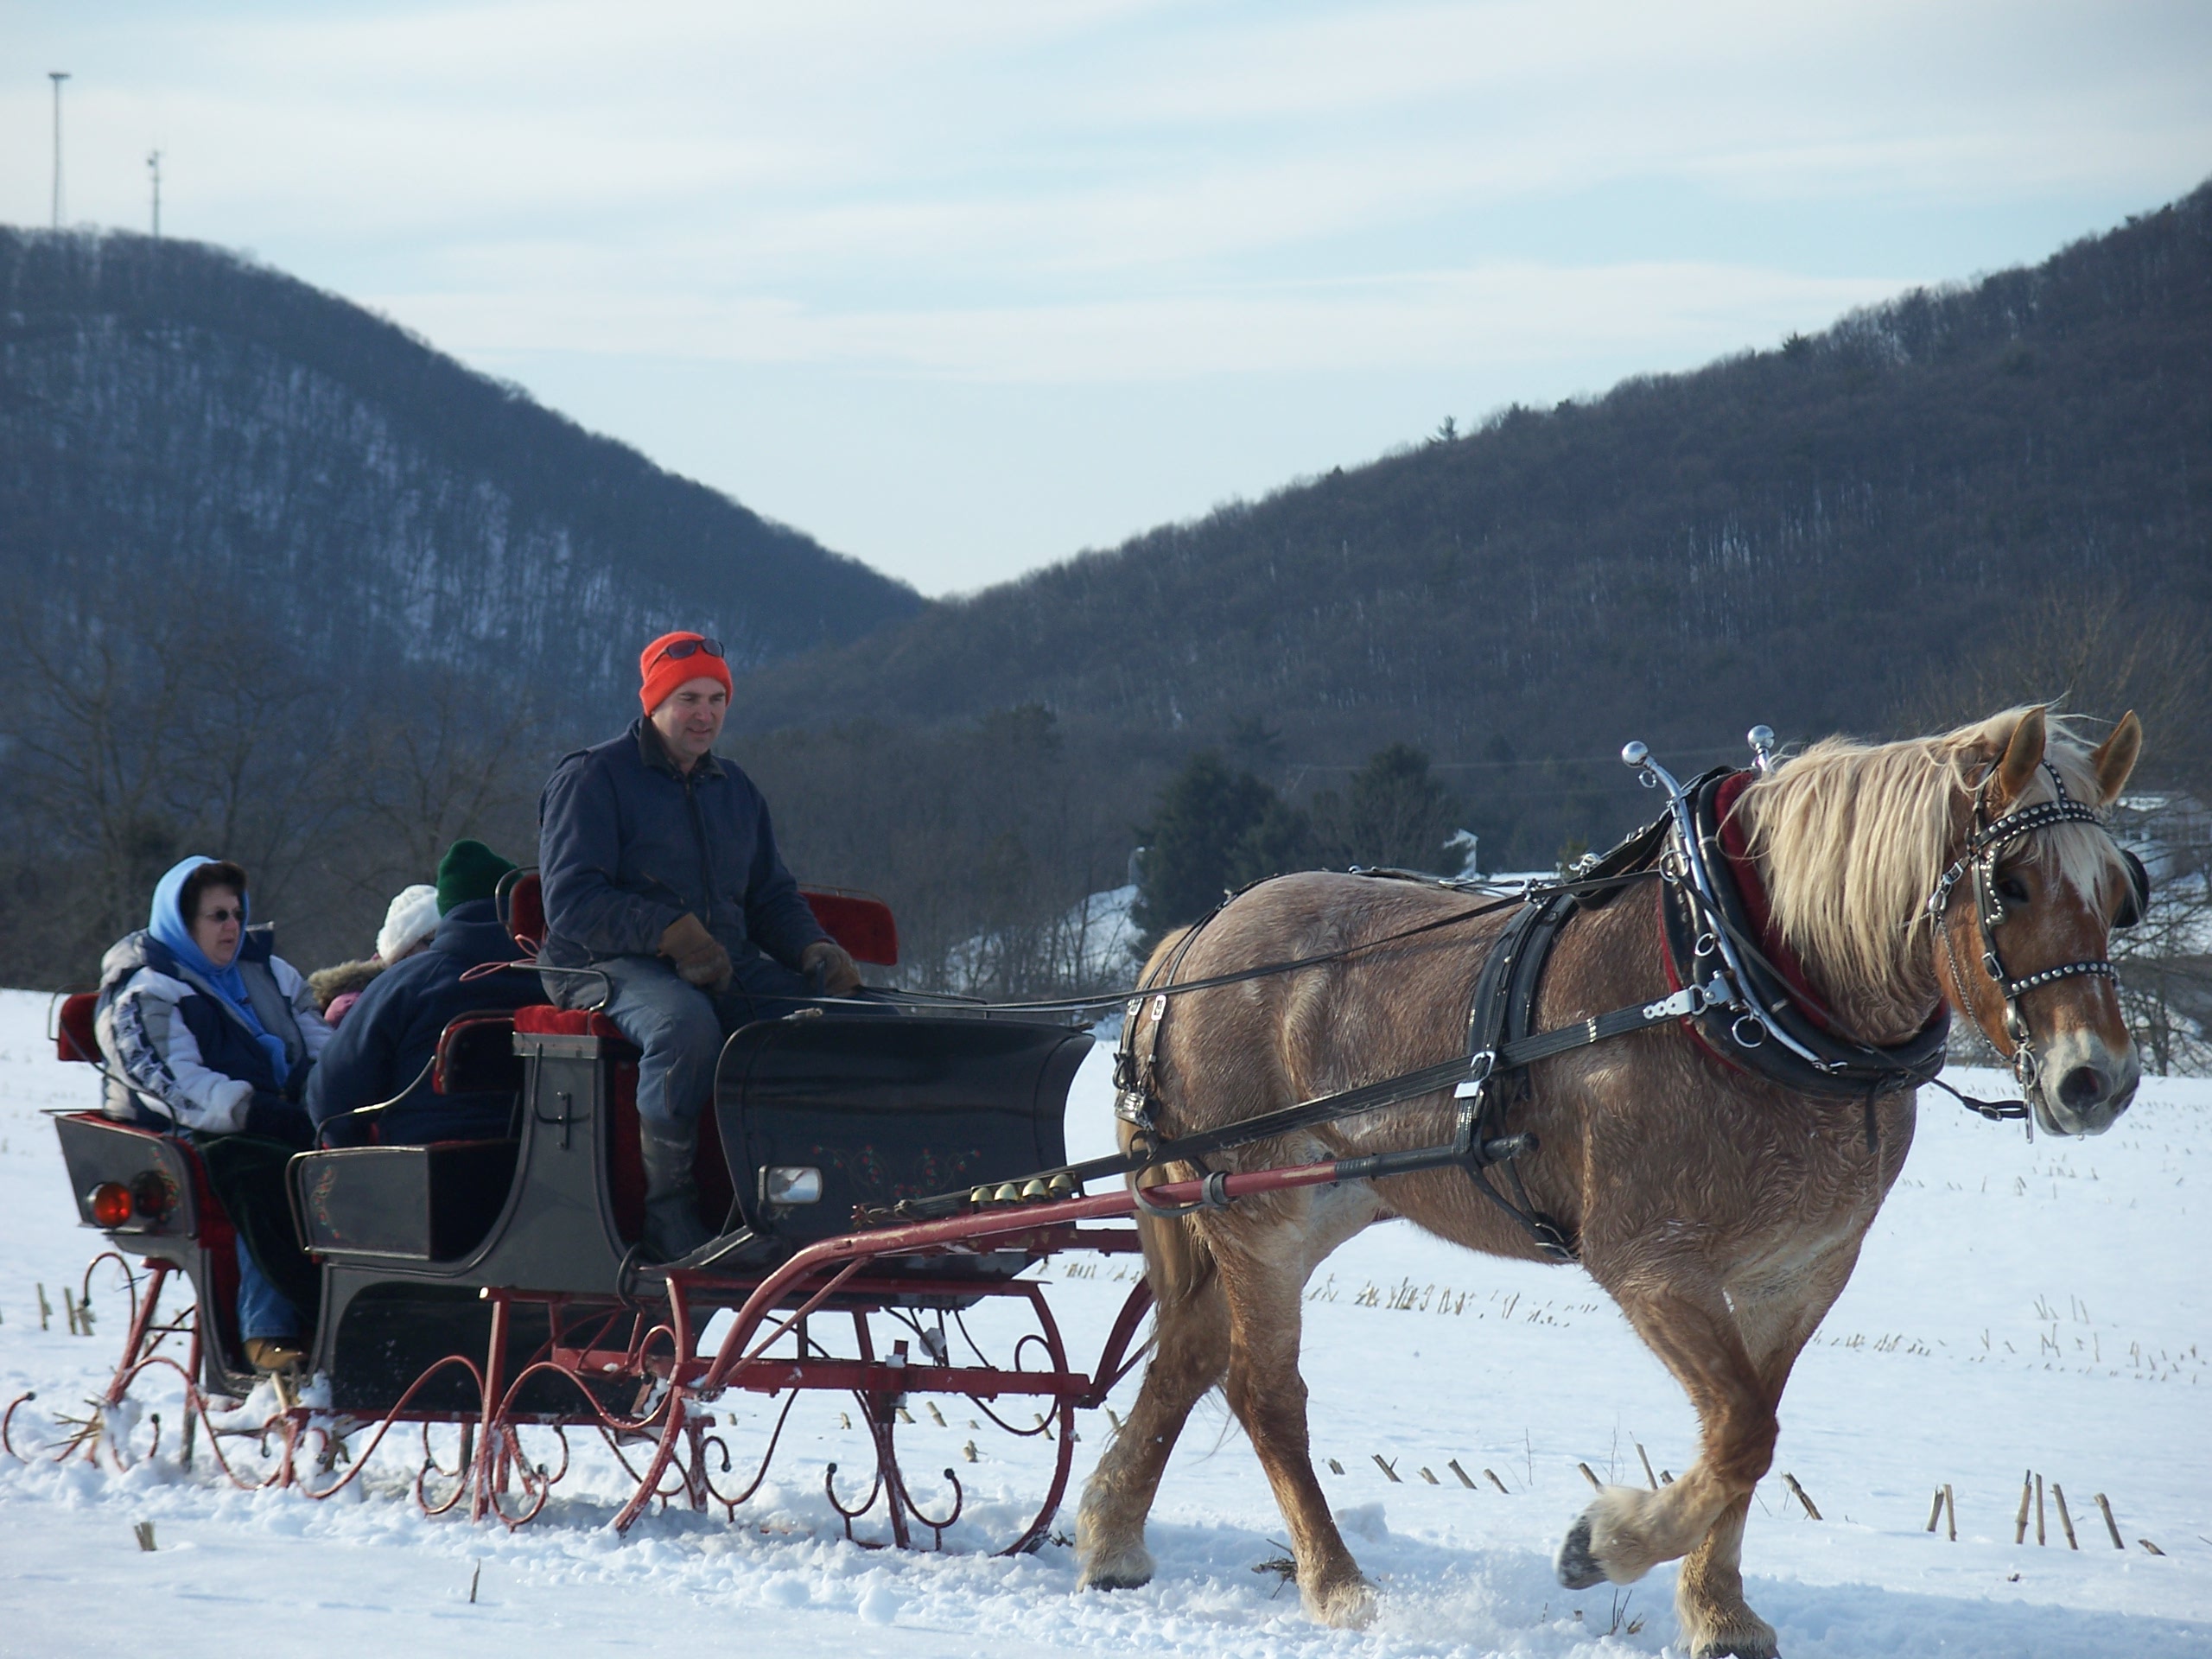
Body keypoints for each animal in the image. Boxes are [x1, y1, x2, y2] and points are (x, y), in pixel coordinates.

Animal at [1075, 705, 2144, 1659]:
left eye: (2119, 891)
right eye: (2010, 885)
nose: (2095, 1081)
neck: (1734, 985)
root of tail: (1195, 941)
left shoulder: (1798, 1273)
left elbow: (1749, 1435)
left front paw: (1719, 1616)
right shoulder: (1651, 1265)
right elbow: (1741, 1430)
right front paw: (1605, 1546)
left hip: (1313, 1204)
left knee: (1188, 1354)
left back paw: (1111, 1537)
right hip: (1261, 1215)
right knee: (1262, 1388)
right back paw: (1336, 1586)